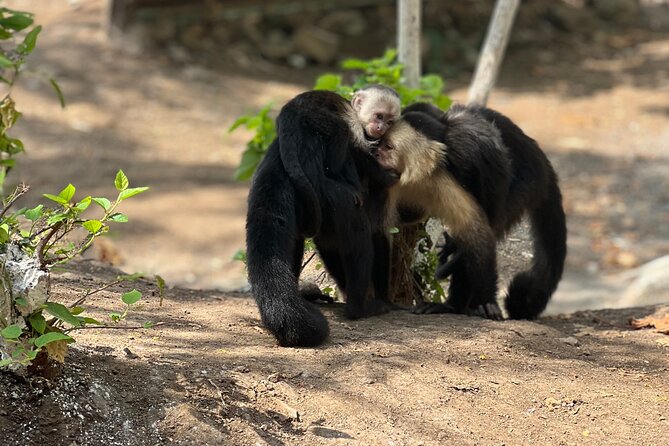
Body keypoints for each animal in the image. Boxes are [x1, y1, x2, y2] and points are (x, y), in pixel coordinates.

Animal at [246, 87, 401, 347]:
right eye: (379, 116)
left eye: (389, 121)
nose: (380, 128)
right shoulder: (356, 129)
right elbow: (362, 157)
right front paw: (388, 176)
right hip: (332, 193)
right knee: (359, 237)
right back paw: (358, 308)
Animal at [373, 102, 567, 320]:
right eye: (381, 142)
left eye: (388, 147)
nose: (375, 153)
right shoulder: (393, 181)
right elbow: (402, 218)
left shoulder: (448, 175)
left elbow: (477, 233)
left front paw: (487, 302)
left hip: (526, 186)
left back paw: (454, 305)